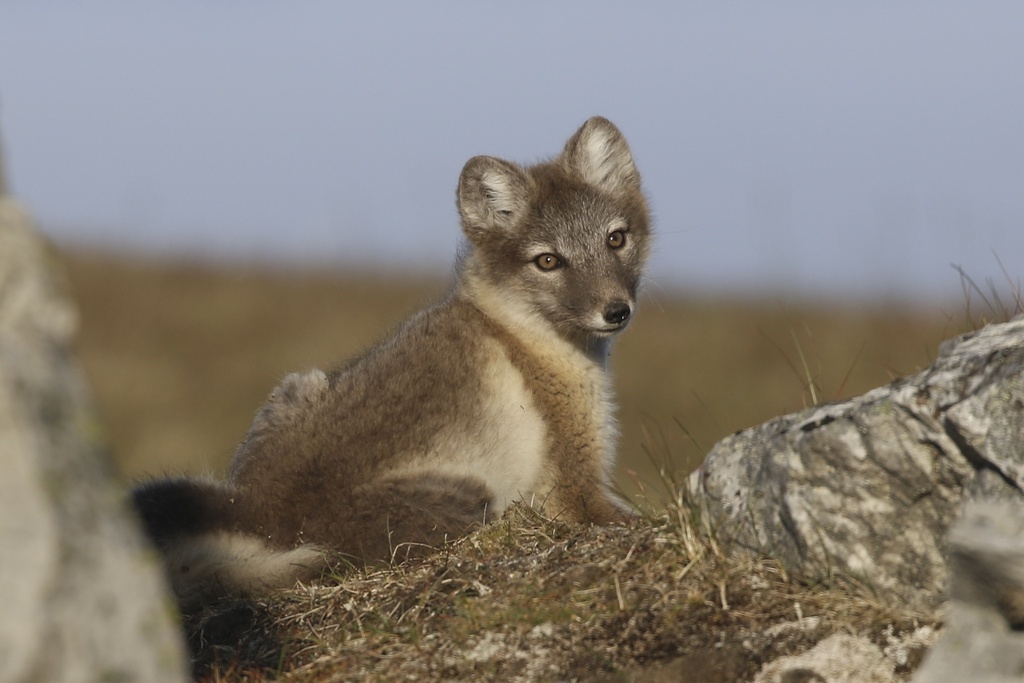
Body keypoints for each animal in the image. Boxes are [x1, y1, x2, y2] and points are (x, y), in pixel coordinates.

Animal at [132, 116, 651, 607]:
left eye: (615, 239)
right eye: (548, 261)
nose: (616, 311)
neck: (514, 330)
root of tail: (255, 510)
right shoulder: (573, 489)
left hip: (299, 383)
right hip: (473, 499)